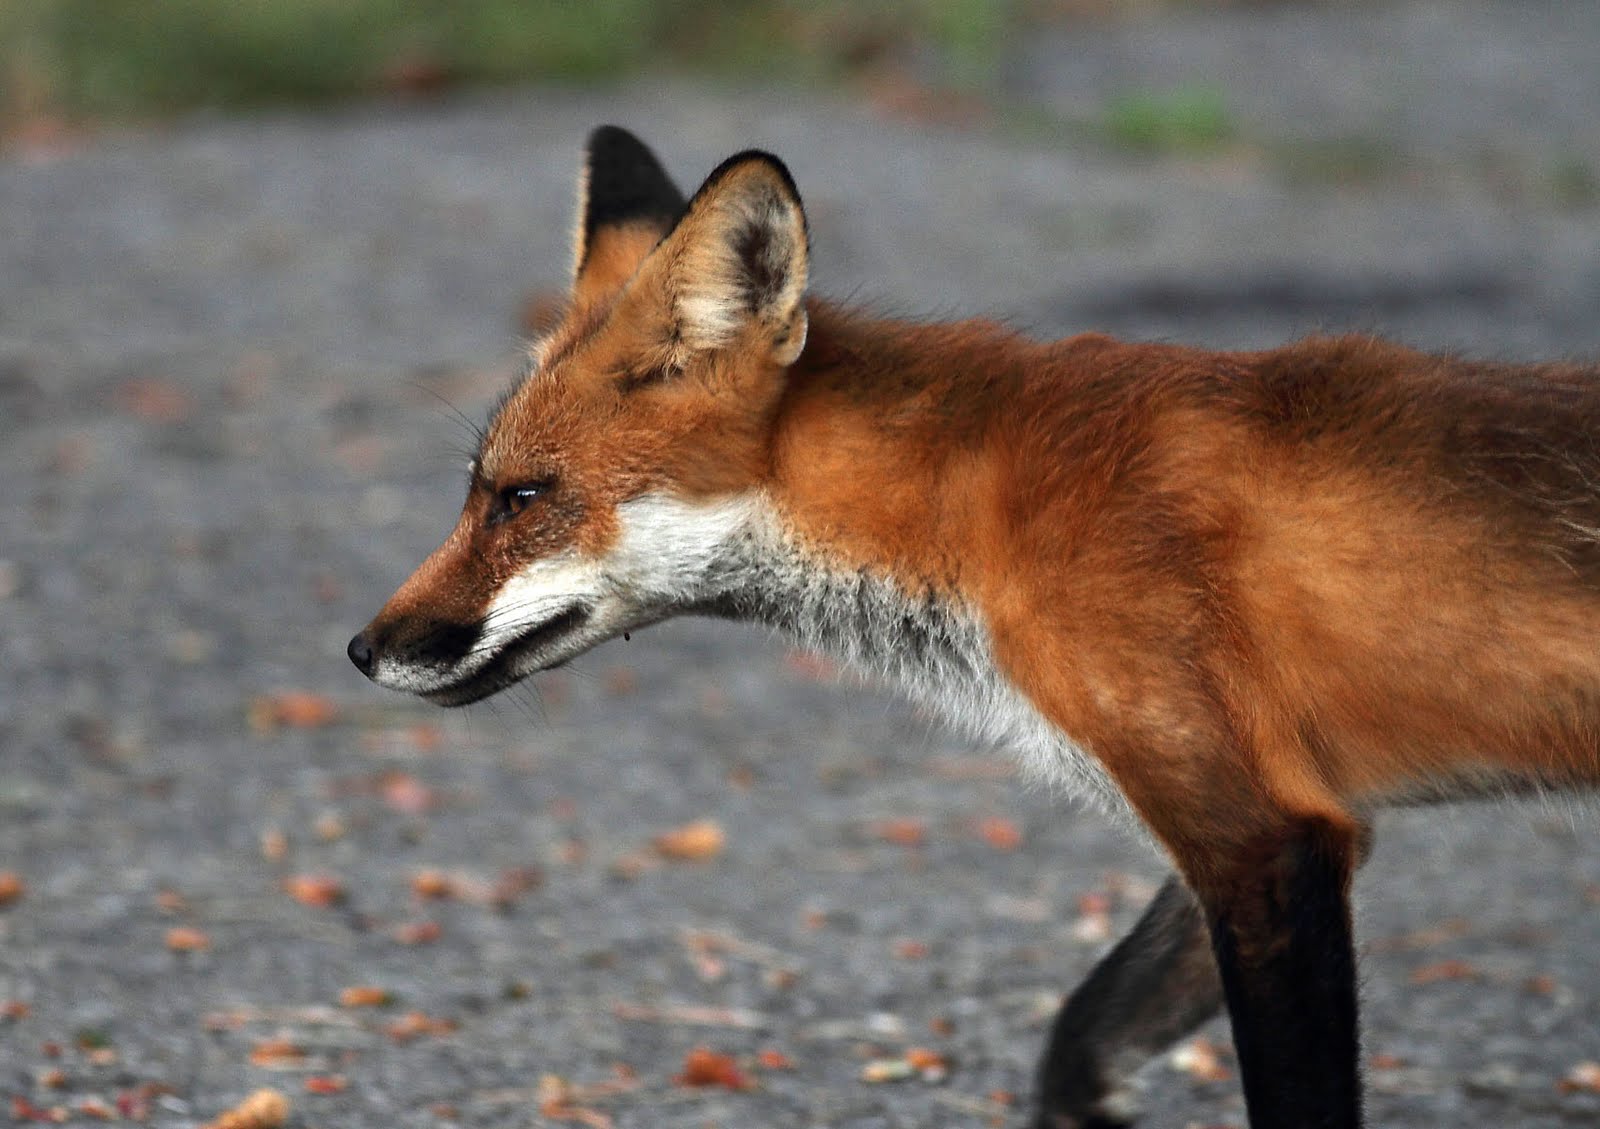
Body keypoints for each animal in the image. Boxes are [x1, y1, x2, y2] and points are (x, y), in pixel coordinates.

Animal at [349, 126, 1600, 1129]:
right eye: (479, 490)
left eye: (520, 498)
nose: (364, 648)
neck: (980, 518)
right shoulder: (1273, 815)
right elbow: (1075, 1040)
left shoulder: (1262, 838)